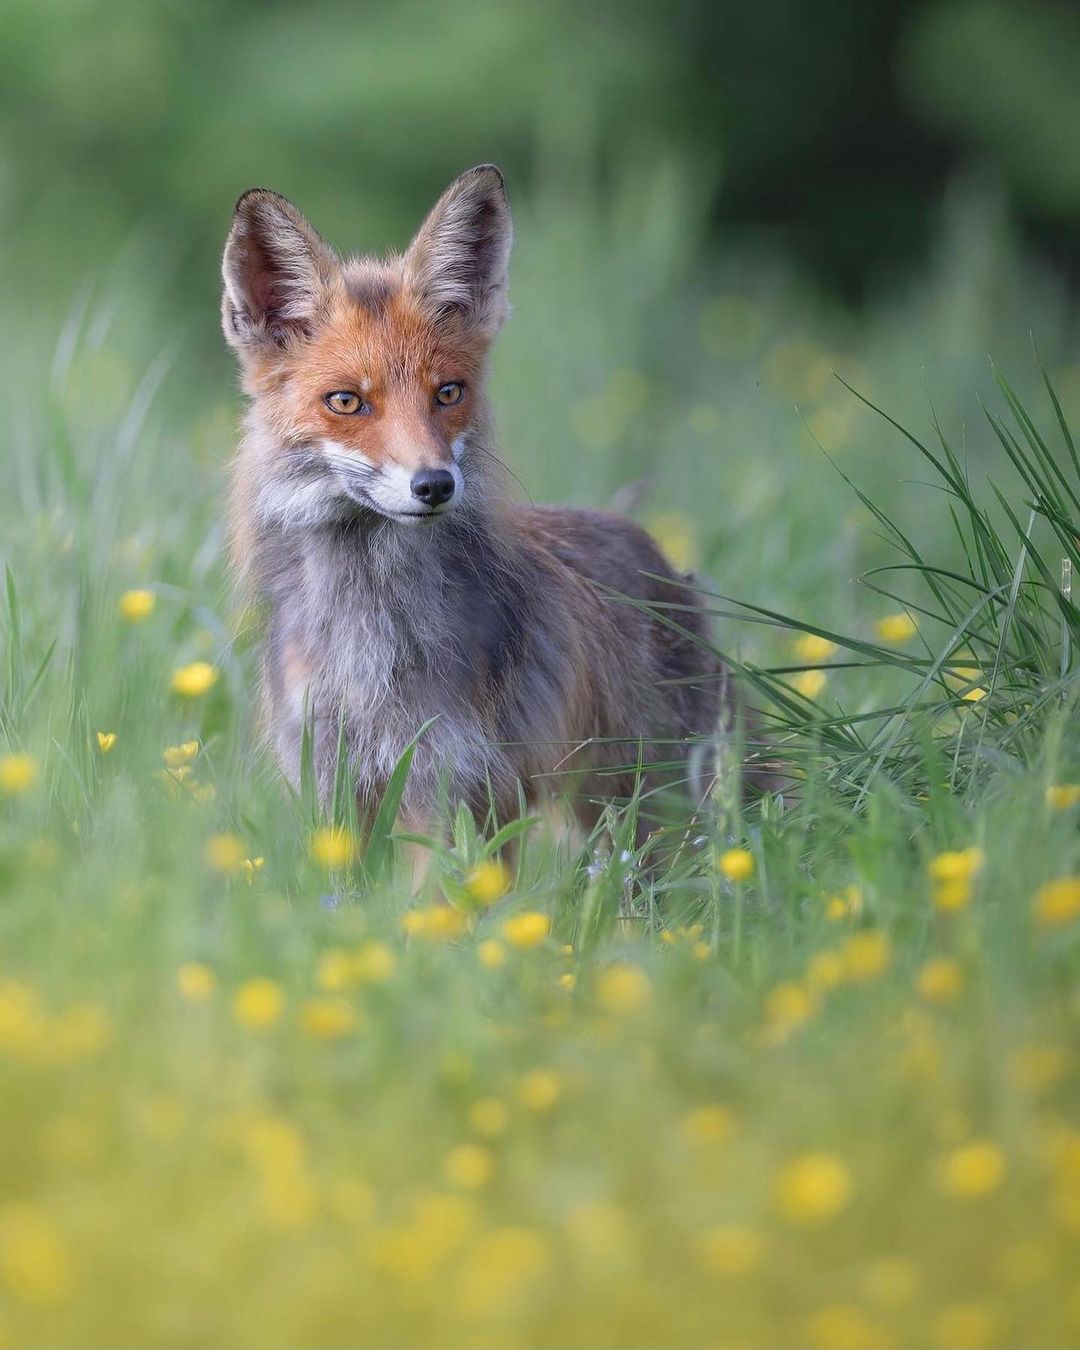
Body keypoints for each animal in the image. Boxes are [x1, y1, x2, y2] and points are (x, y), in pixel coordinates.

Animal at [220, 165, 741, 845]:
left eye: (448, 392)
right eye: (346, 402)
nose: (434, 484)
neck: (371, 646)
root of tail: (645, 542)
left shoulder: (459, 781)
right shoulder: (331, 787)